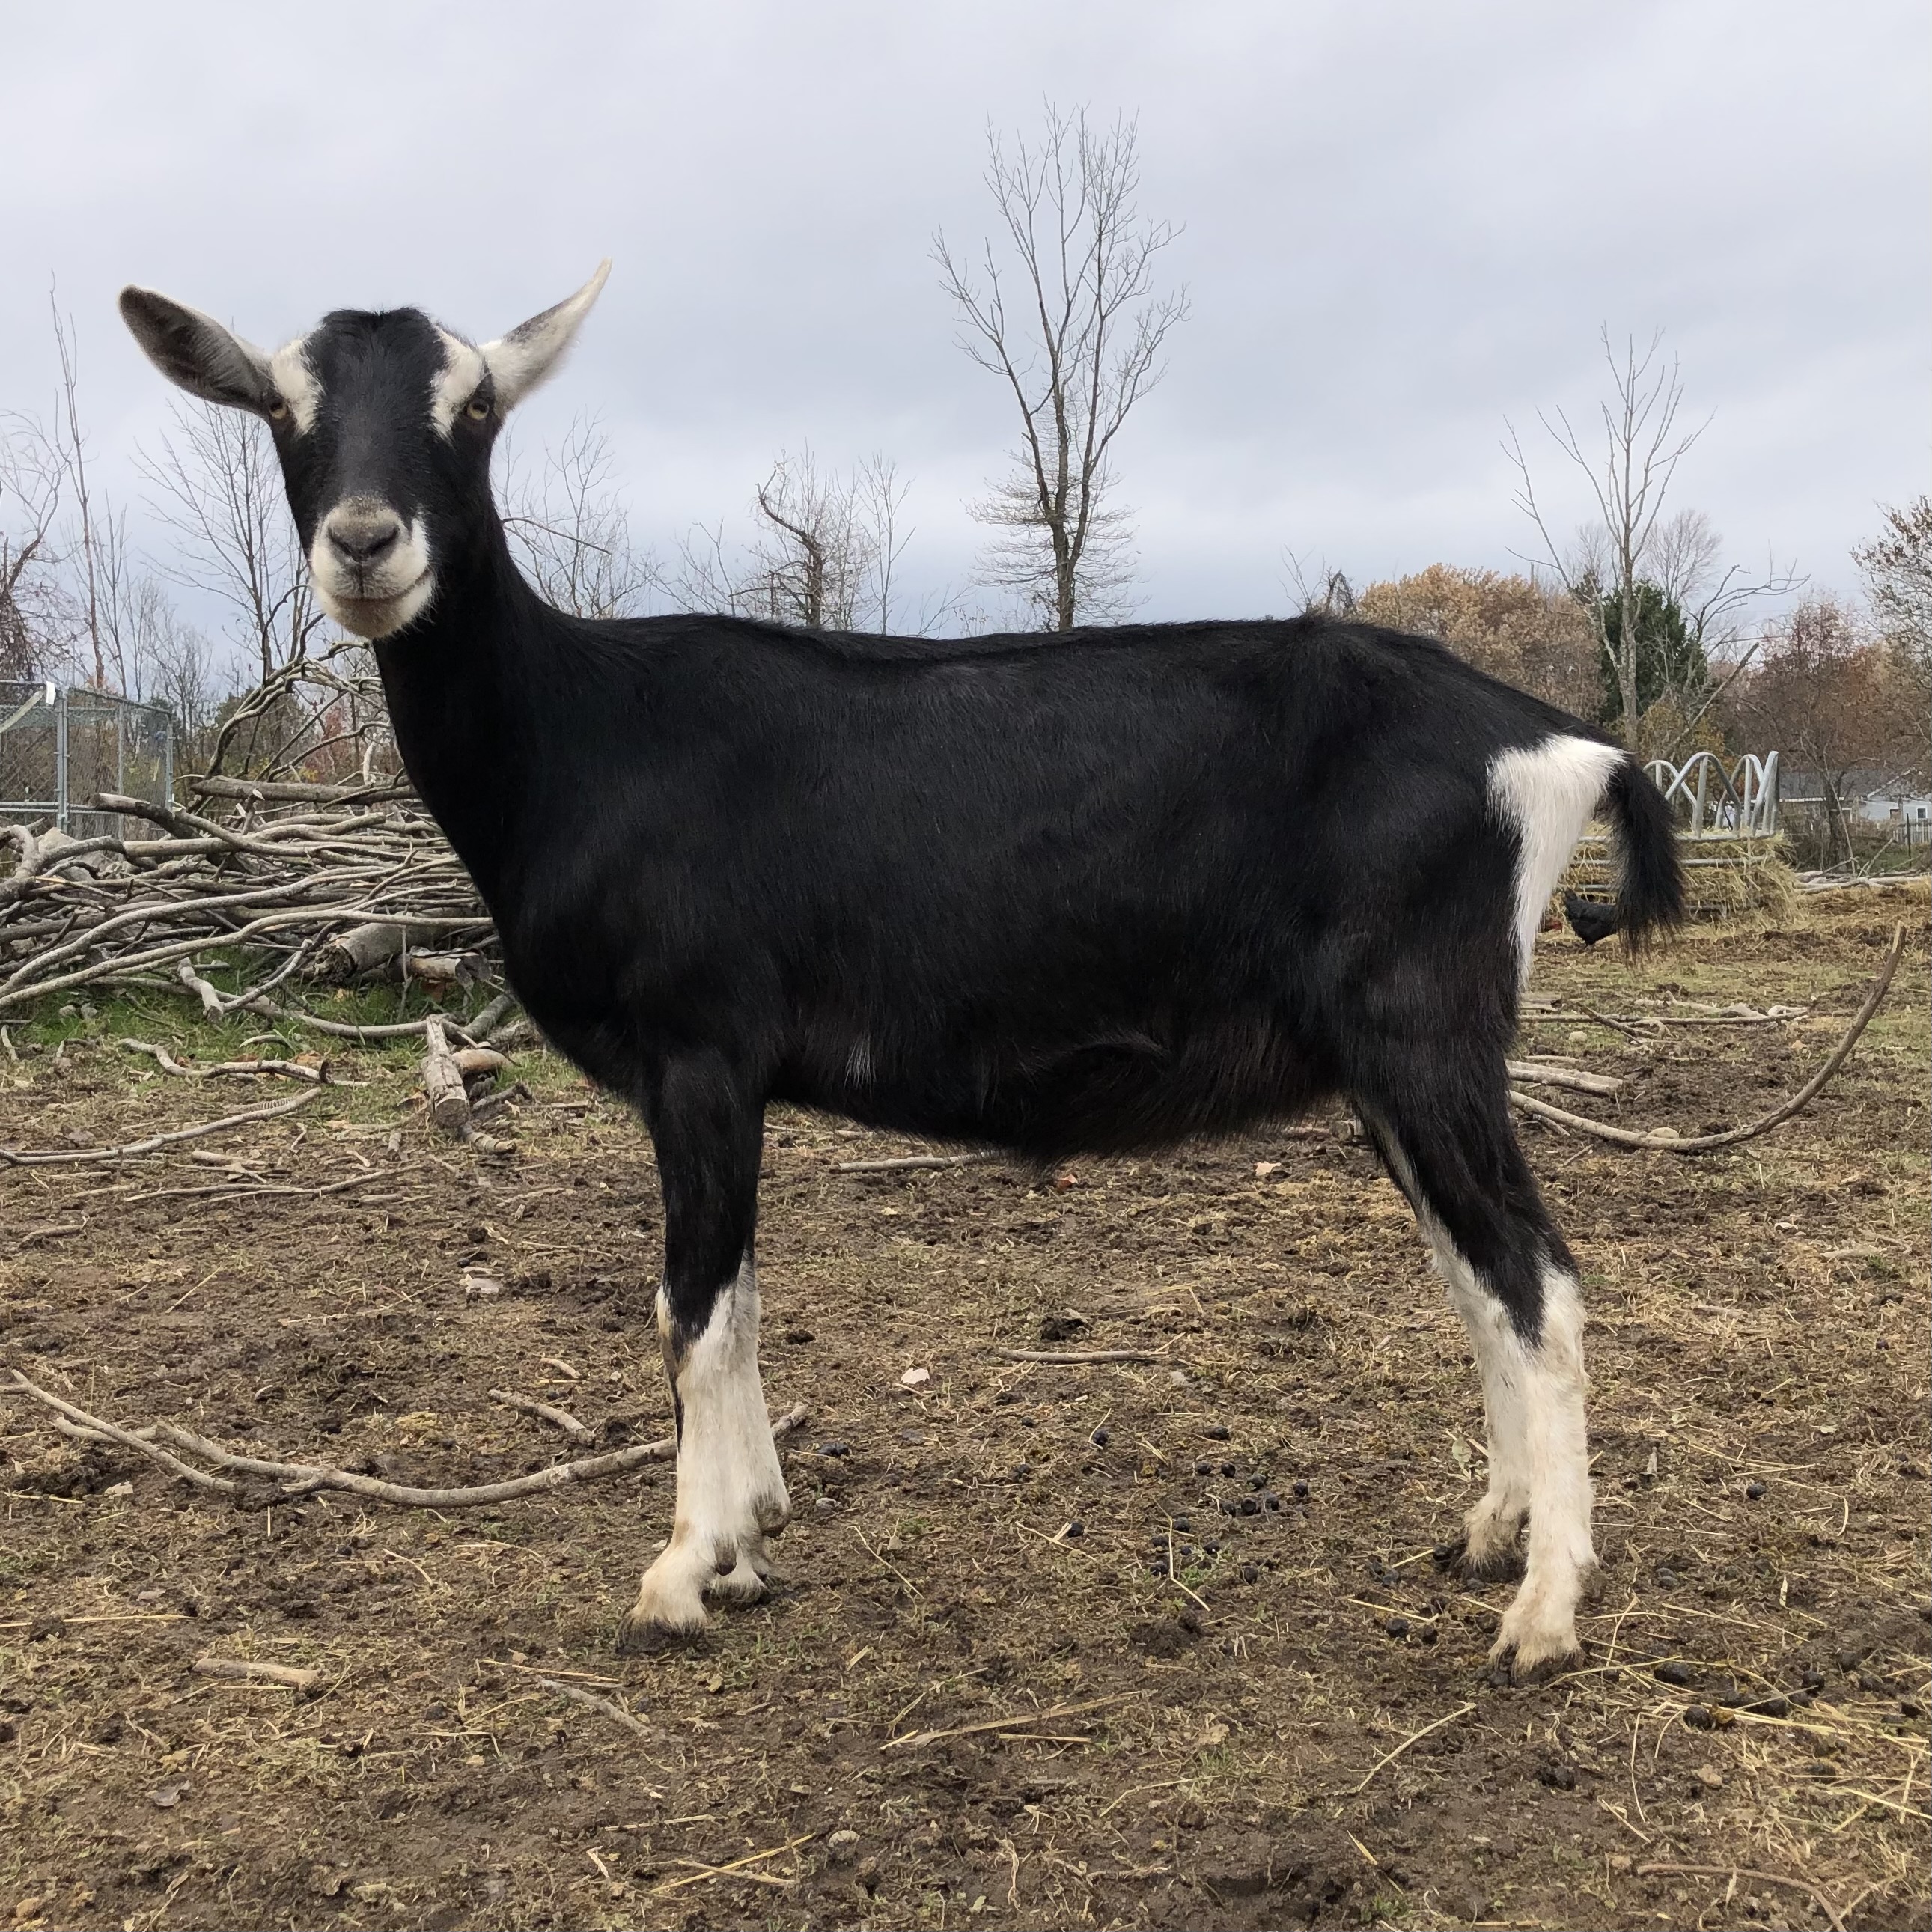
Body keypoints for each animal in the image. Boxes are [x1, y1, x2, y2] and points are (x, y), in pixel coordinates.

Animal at [119, 268, 1684, 1677]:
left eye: (476, 406)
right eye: (281, 407)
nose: (366, 543)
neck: (581, 736)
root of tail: (1563, 744)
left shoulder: (700, 1048)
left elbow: (690, 1309)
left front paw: (682, 1572)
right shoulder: (719, 1080)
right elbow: (739, 1297)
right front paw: (751, 1532)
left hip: (1426, 1029)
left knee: (1538, 1286)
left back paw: (1543, 1611)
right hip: (1386, 1063)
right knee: (1474, 1279)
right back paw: (1489, 1529)